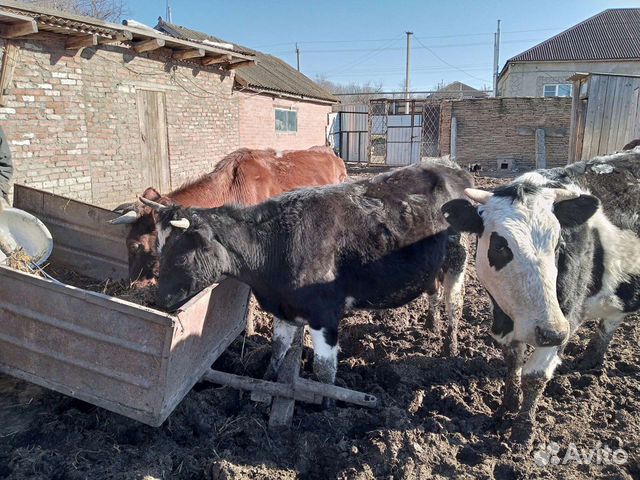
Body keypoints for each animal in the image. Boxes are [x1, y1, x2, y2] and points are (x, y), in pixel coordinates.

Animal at [141, 158, 473, 392]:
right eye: (157, 247)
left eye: (180, 253)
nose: (159, 300)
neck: (275, 245)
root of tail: (449, 166)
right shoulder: (284, 309)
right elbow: (277, 351)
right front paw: (267, 381)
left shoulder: (324, 314)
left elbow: (324, 373)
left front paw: (325, 406)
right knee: (433, 290)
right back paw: (431, 326)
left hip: (459, 258)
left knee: (454, 303)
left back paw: (451, 347)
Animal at [442, 146, 640, 445]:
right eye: (500, 246)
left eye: (558, 245)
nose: (551, 332)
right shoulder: (505, 317)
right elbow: (513, 361)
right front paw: (506, 409)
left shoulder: (565, 318)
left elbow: (534, 375)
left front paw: (522, 432)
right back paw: (590, 360)